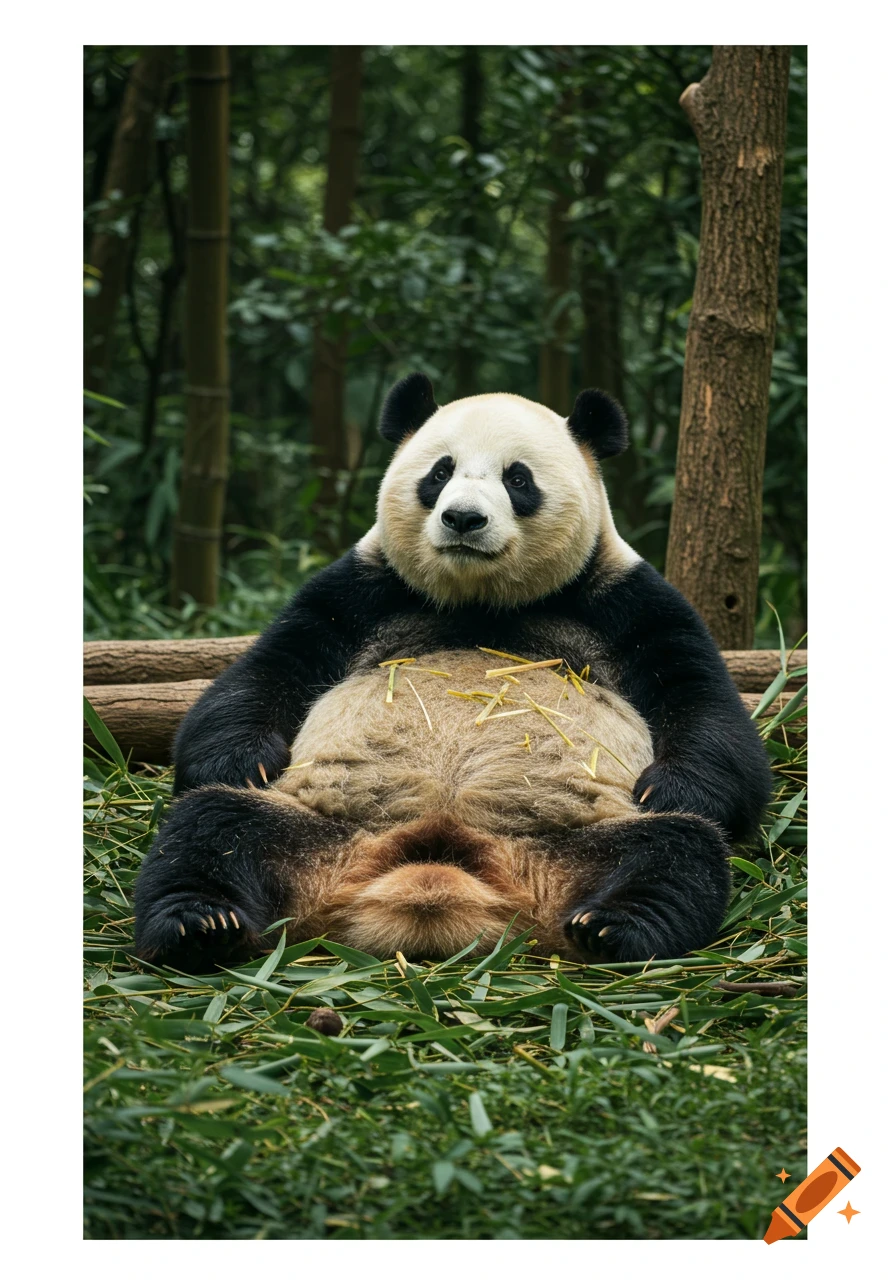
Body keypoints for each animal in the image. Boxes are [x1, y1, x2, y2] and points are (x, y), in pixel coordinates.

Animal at [134, 373, 771, 972]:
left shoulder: (627, 601)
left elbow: (708, 712)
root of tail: (435, 873)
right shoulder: (358, 592)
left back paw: (617, 927)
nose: (463, 518)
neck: (480, 601)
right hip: (311, 825)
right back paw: (198, 924)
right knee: (214, 828)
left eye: (519, 480)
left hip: (579, 839)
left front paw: (671, 784)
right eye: (440, 472)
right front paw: (245, 760)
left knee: (673, 851)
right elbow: (262, 676)